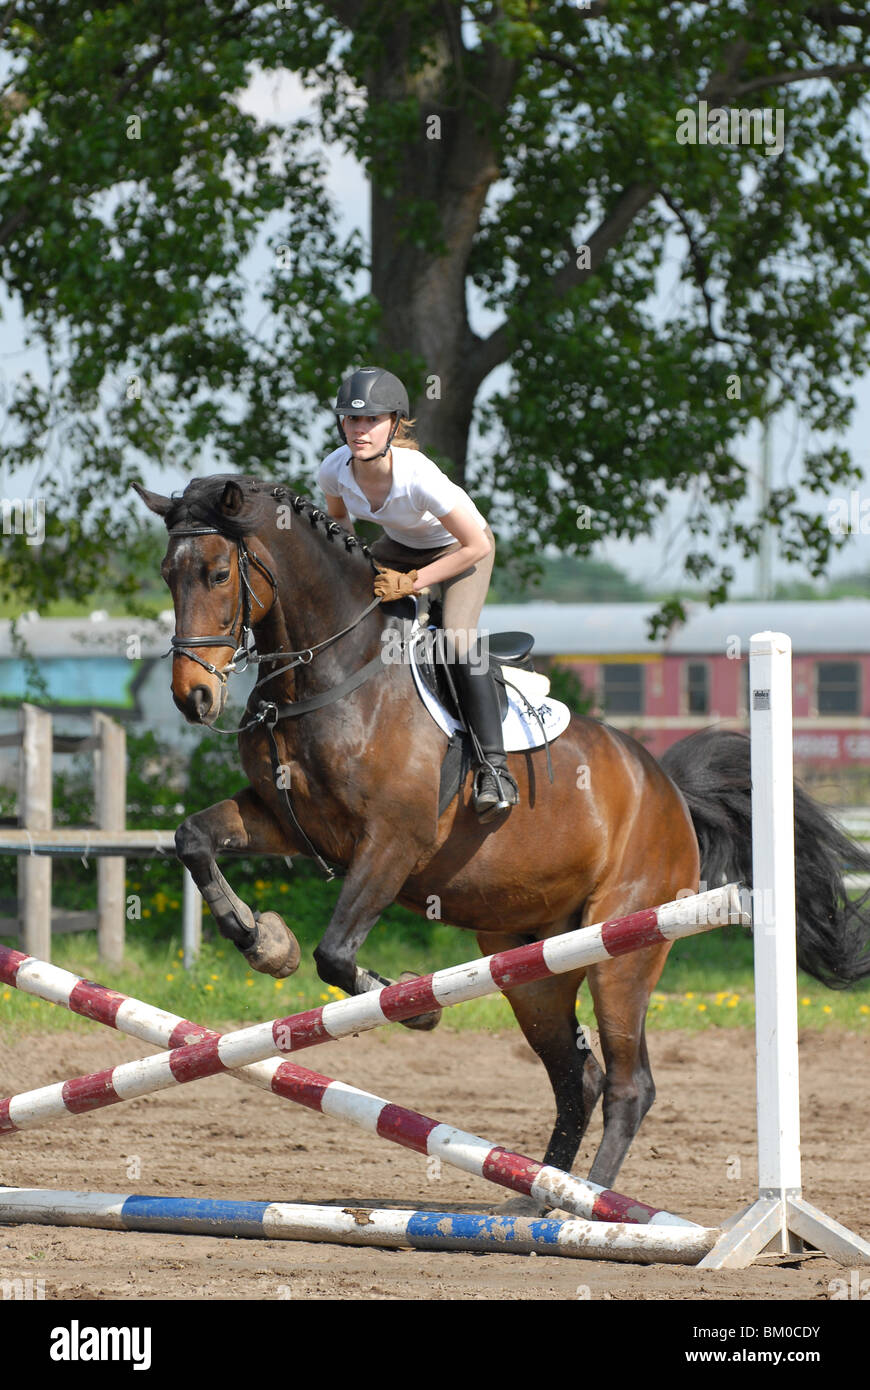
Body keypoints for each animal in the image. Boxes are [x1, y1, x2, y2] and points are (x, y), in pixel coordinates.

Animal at [134, 474, 870, 1193]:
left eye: (218, 572)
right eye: (167, 574)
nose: (192, 698)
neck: (334, 675)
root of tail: (667, 788)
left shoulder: (392, 844)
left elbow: (336, 955)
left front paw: (413, 1006)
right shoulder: (286, 820)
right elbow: (194, 839)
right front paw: (263, 941)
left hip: (623, 948)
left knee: (629, 1085)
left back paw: (589, 1203)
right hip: (529, 963)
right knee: (578, 1077)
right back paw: (543, 1195)